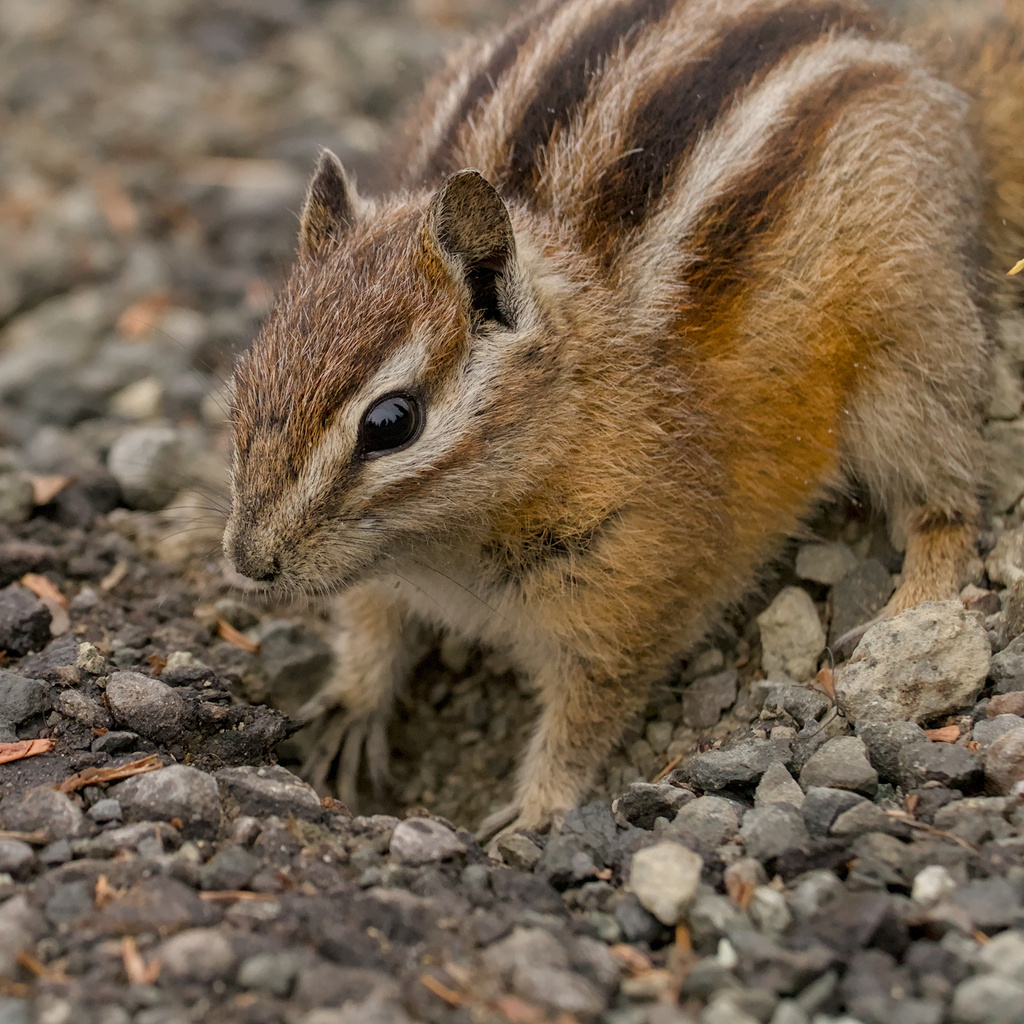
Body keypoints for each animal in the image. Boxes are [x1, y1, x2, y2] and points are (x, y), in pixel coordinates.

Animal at [223, 0, 1023, 839]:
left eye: (390, 423)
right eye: (250, 370)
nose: (248, 562)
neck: (441, 547)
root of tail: (920, 61)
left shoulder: (638, 584)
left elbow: (590, 711)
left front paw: (535, 811)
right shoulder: (387, 578)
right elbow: (372, 622)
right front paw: (351, 702)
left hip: (910, 361)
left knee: (949, 499)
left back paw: (910, 609)